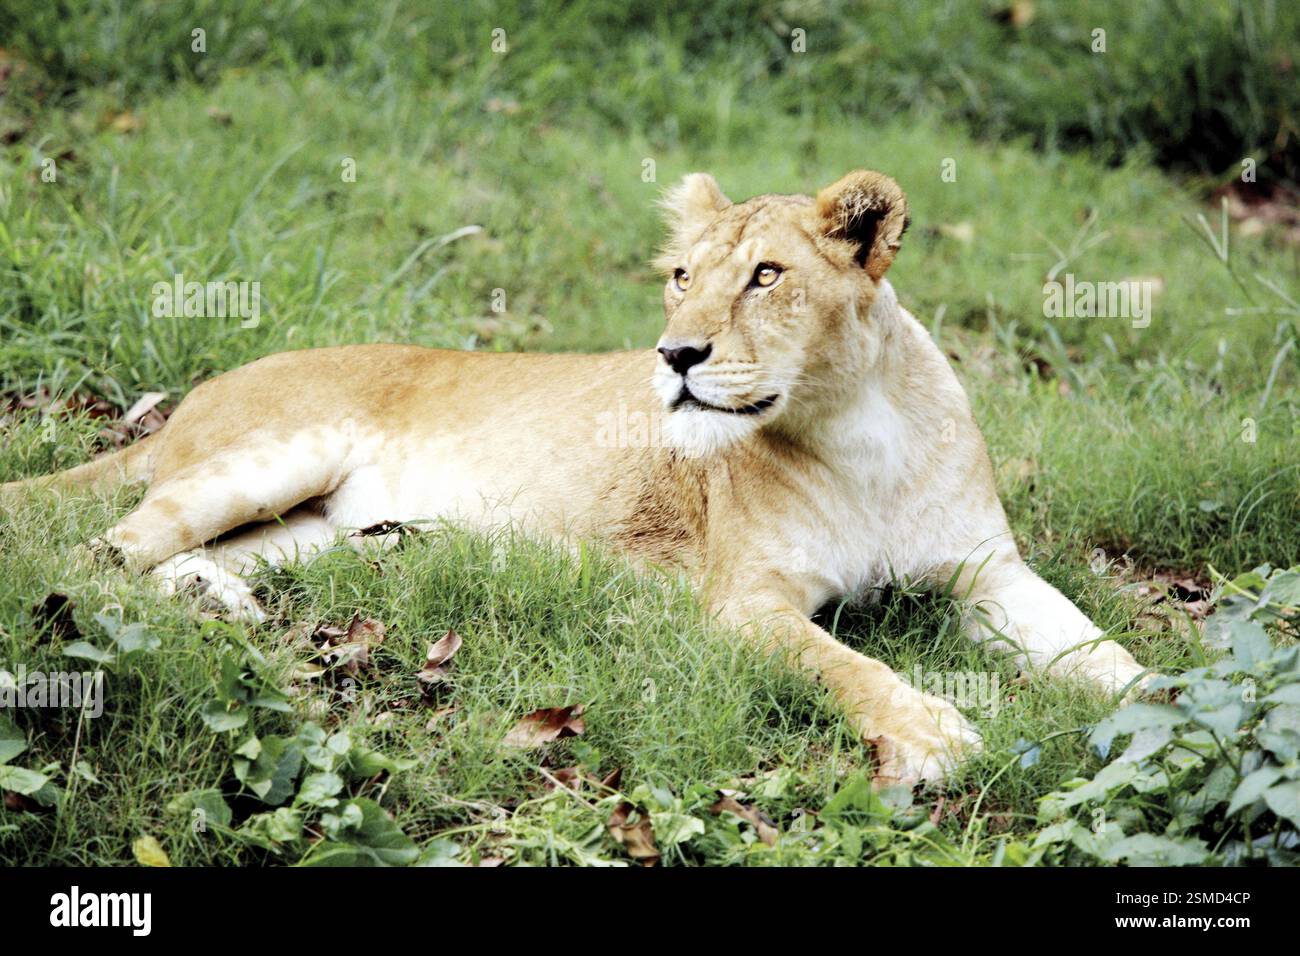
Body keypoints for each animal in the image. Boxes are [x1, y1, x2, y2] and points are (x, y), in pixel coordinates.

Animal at [1, 169, 1148, 784]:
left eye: (766, 275)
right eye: (682, 277)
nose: (675, 354)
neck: (856, 425)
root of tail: (206, 383)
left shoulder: (987, 572)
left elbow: (1097, 648)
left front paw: (1165, 712)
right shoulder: (747, 600)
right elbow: (845, 666)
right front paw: (933, 732)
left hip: (317, 528)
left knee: (184, 554)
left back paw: (223, 602)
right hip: (275, 454)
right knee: (101, 550)